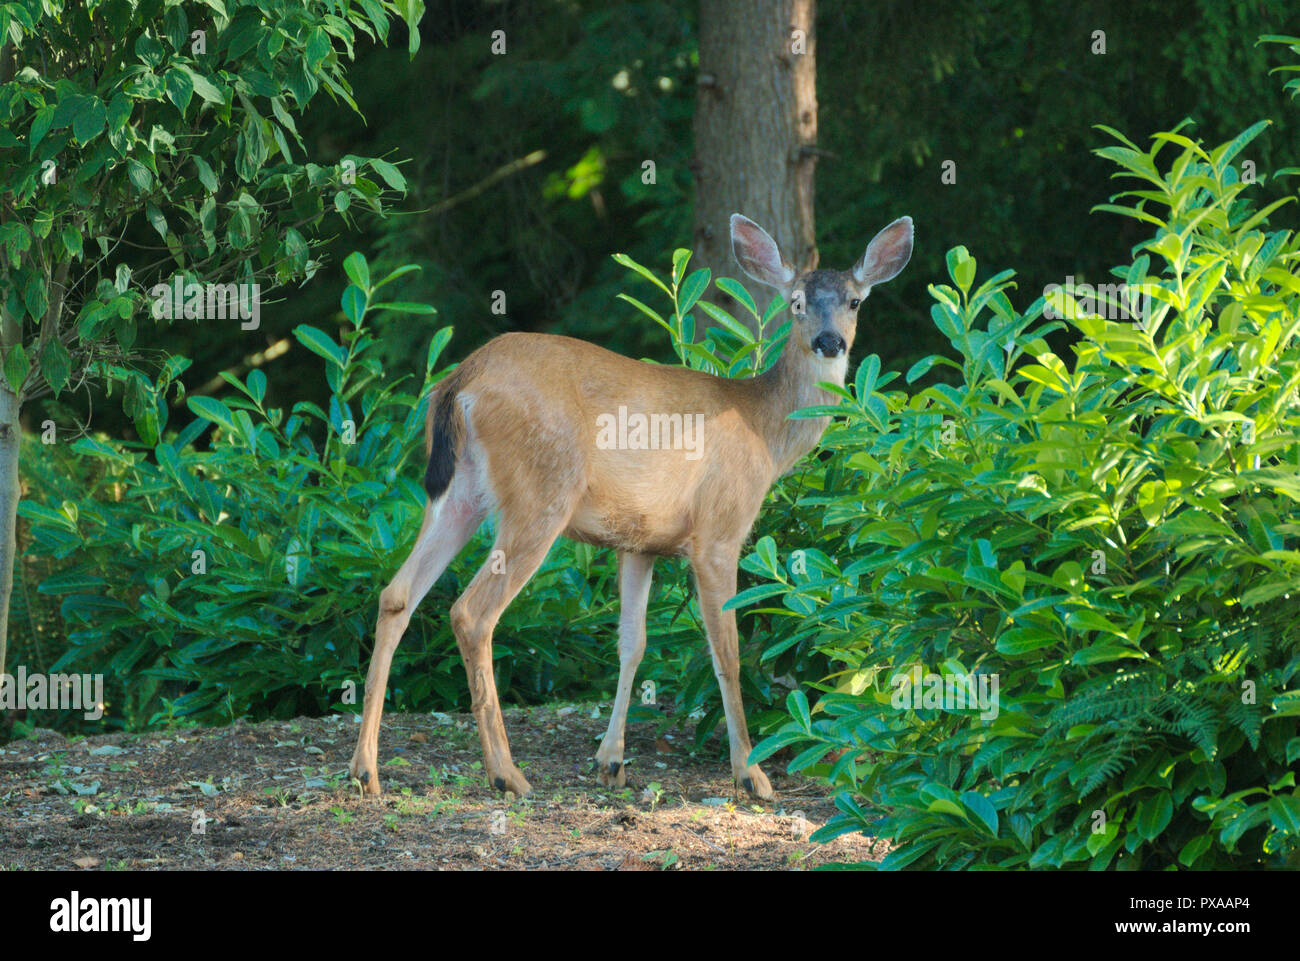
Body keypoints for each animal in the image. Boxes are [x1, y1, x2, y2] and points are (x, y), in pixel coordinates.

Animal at [348, 212, 914, 800]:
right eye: (797, 302)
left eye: (855, 301)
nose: (829, 342)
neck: (765, 430)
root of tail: (460, 380)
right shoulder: (717, 531)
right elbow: (728, 654)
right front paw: (751, 773)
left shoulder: (640, 542)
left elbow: (632, 644)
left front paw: (611, 761)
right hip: (541, 491)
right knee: (471, 612)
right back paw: (506, 773)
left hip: (459, 493)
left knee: (396, 595)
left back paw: (365, 771)